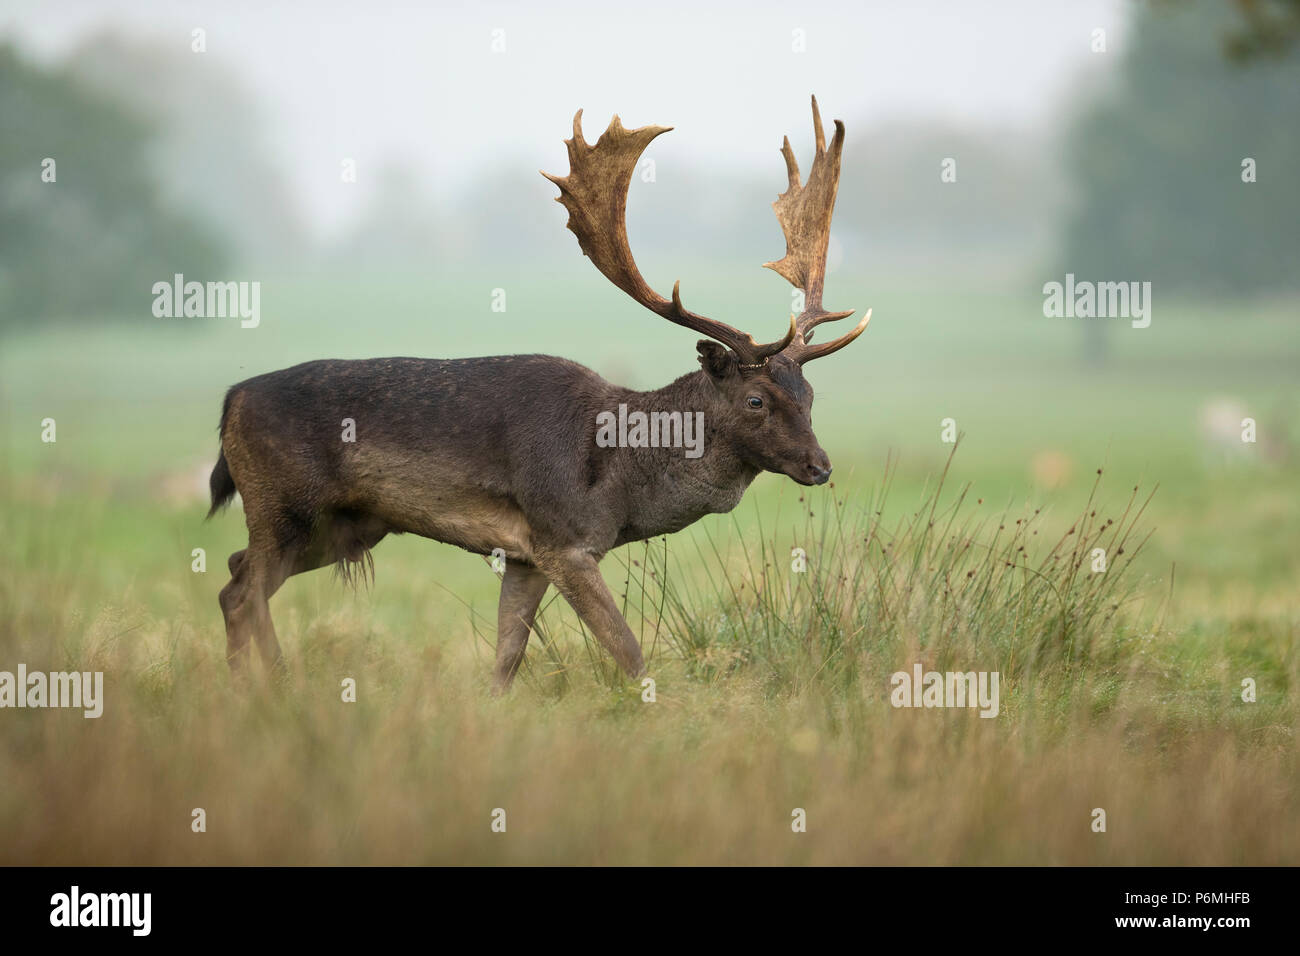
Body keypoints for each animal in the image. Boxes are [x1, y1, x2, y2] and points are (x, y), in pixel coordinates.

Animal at [207, 95, 870, 693]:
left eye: (811, 394)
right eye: (756, 399)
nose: (820, 465)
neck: (621, 474)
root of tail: (230, 401)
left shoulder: (525, 555)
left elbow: (507, 657)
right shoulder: (563, 538)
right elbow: (626, 649)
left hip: (347, 524)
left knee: (232, 576)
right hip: (284, 503)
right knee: (244, 590)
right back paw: (275, 687)